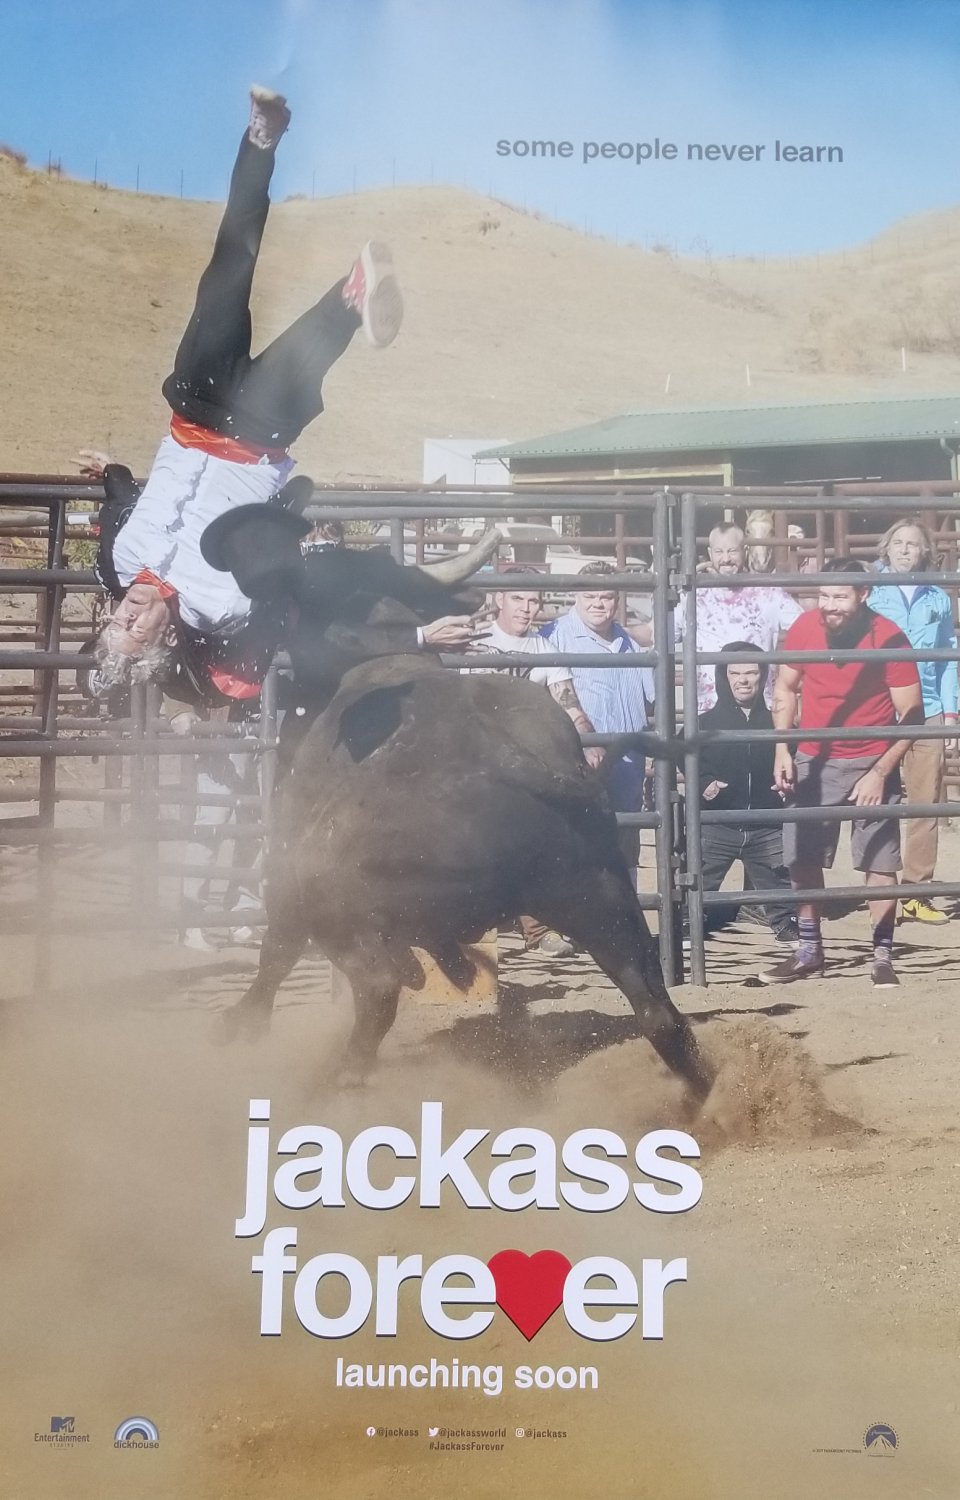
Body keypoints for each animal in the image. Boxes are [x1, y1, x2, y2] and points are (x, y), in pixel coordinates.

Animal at [209, 509, 713, 1104]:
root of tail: (504, 757)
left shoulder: (288, 879)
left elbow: (277, 950)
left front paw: (242, 1022)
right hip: (602, 898)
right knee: (658, 1012)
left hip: (342, 910)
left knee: (376, 987)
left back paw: (342, 1075)